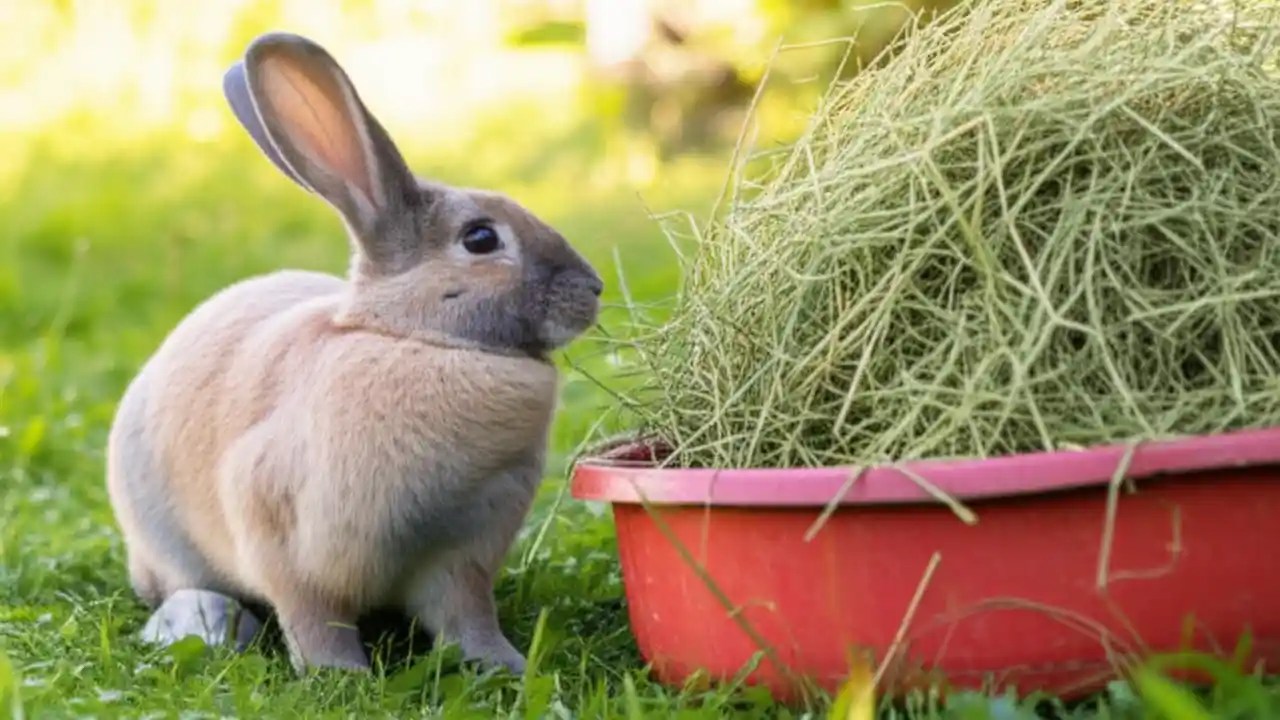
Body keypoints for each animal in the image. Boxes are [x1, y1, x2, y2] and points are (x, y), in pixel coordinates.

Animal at [105, 31, 603, 674]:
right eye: (480, 238)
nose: (593, 289)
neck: (413, 340)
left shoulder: (462, 557)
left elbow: (468, 619)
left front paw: (506, 665)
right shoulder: (284, 535)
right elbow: (315, 619)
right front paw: (339, 675)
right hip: (163, 534)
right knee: (178, 584)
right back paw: (207, 623)